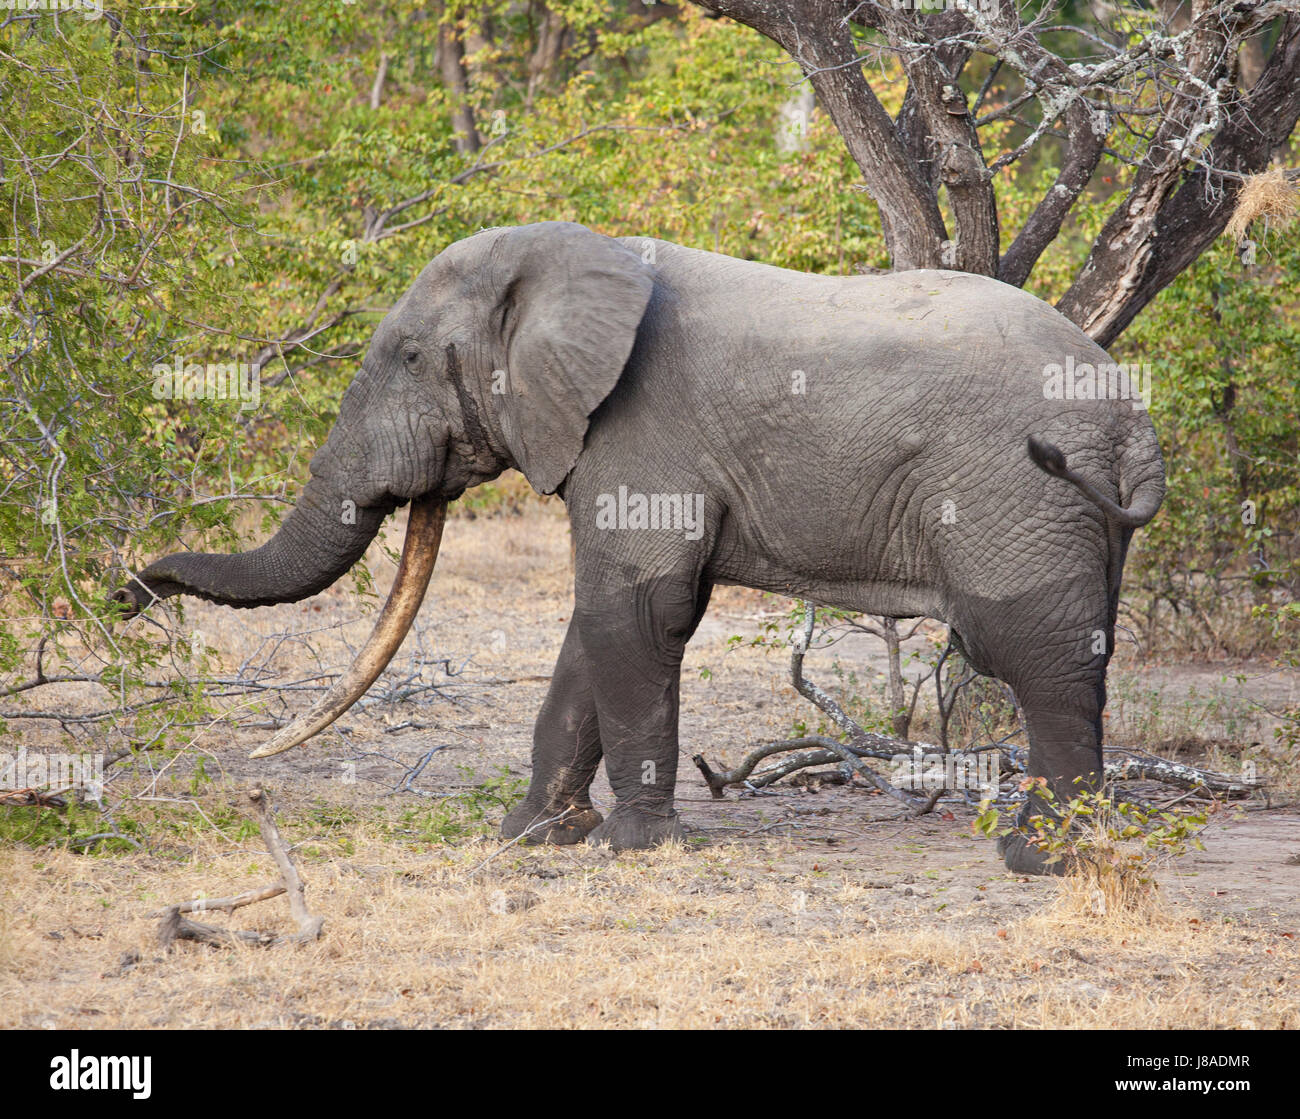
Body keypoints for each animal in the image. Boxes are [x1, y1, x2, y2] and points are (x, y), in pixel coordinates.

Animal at [115, 221, 1165, 874]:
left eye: (411, 359)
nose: (129, 592)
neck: (582, 256)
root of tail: (1132, 420)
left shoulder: (636, 430)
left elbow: (640, 612)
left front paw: (636, 848)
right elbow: (603, 624)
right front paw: (533, 837)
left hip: (1020, 496)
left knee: (1035, 658)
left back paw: (1041, 860)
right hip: (1071, 516)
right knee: (1077, 652)